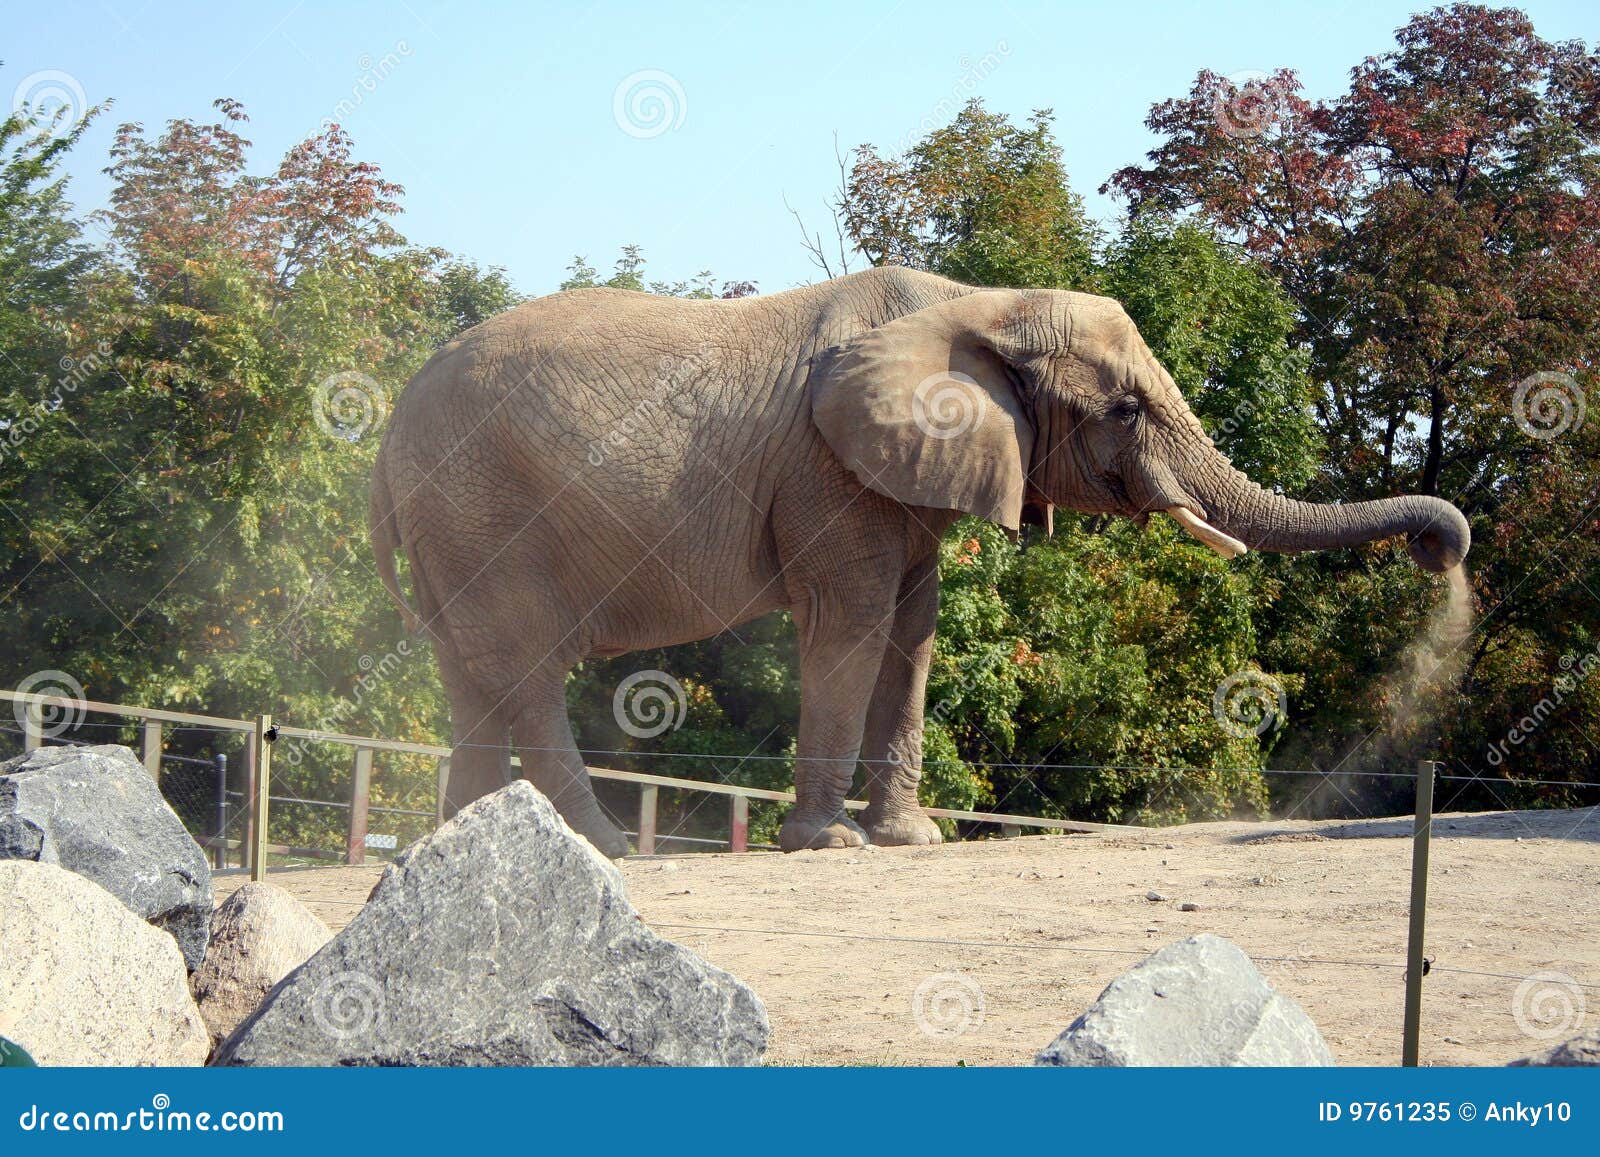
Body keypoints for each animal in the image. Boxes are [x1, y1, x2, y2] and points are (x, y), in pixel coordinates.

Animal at [370, 266, 1469, 858]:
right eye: (1122, 408)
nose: (1440, 551)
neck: (976, 305)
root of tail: (385, 428)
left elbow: (914, 635)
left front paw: (908, 841)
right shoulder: (828, 473)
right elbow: (852, 629)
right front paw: (830, 847)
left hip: (451, 528)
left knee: (472, 678)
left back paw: (464, 843)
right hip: (486, 514)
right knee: (524, 674)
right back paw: (597, 848)